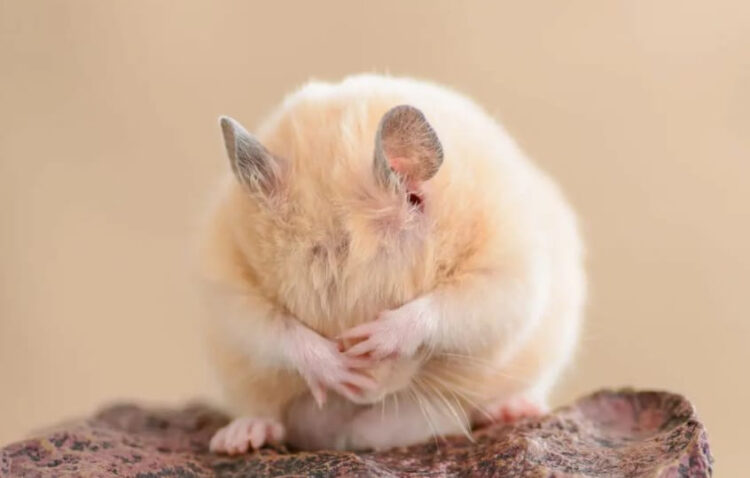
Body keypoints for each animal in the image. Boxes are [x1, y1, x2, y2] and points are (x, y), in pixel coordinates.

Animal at [199, 74, 585, 454]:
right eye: (295, 307)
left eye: (394, 300)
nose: (362, 394)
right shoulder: (230, 286)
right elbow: (275, 328)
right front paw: (338, 368)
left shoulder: (506, 270)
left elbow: (446, 307)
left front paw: (379, 337)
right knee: (265, 410)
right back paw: (240, 439)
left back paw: (508, 409)